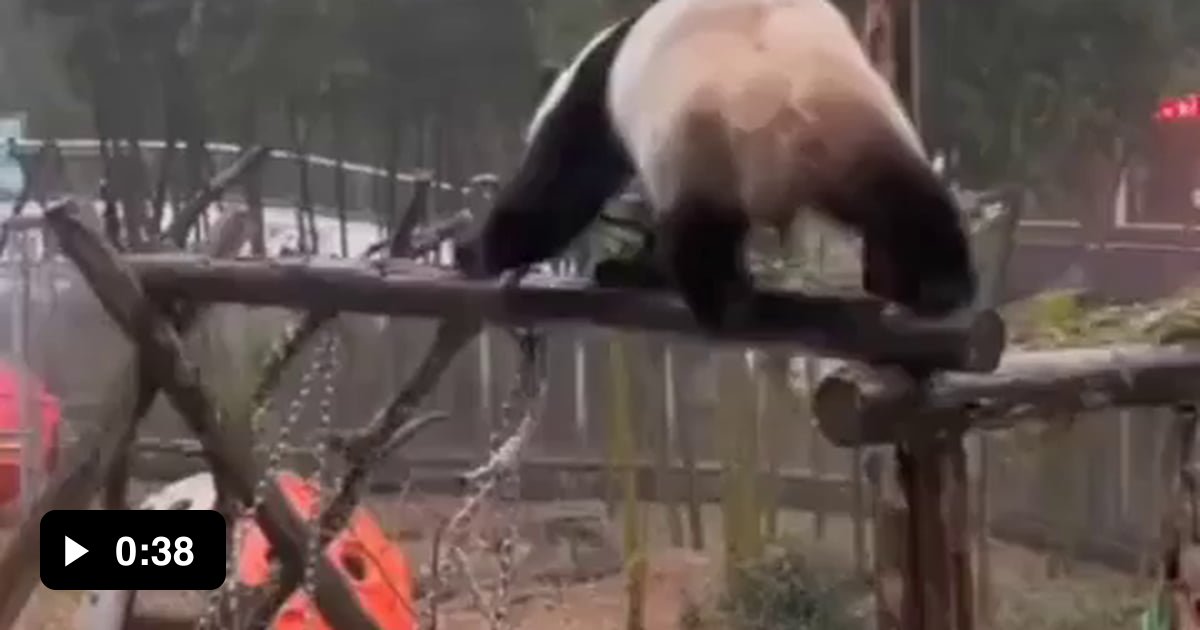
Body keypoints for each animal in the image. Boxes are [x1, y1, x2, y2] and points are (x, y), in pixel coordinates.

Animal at [454, 0, 977, 331]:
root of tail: (781, 110)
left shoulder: (600, 95)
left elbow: (558, 188)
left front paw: (471, 253)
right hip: (860, 122)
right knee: (906, 197)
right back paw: (941, 284)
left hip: (698, 144)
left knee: (697, 234)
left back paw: (709, 296)